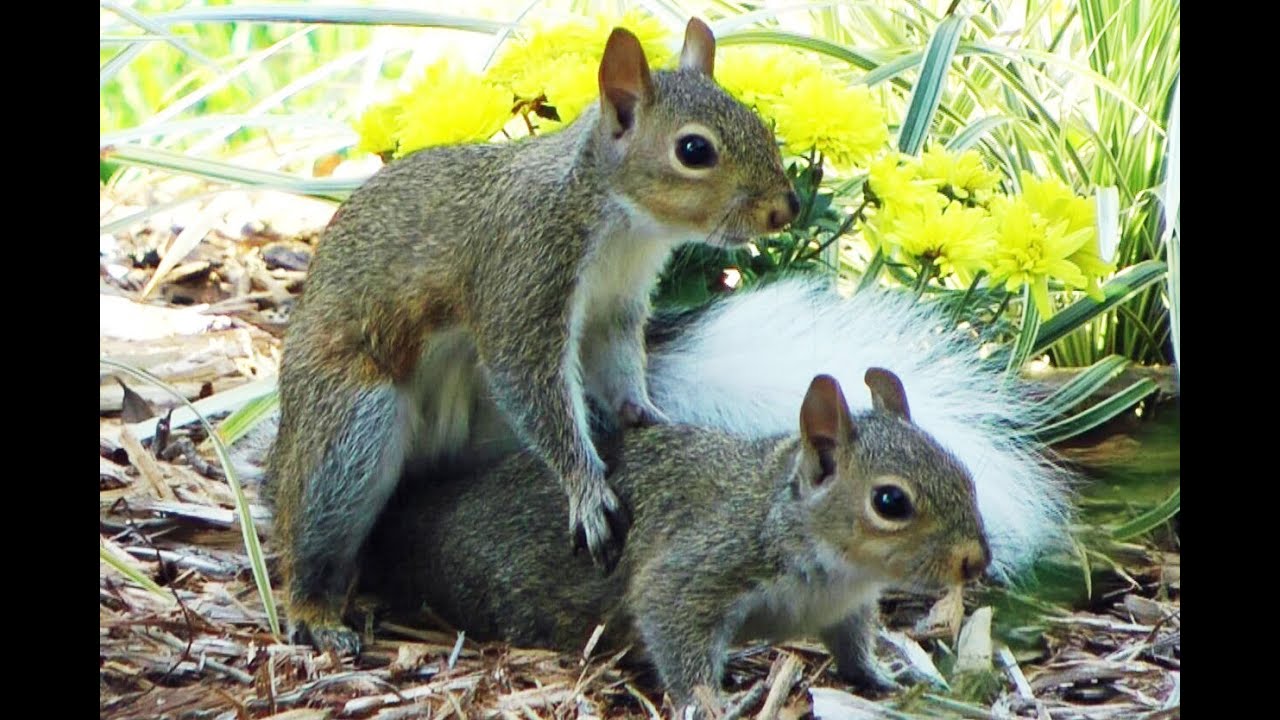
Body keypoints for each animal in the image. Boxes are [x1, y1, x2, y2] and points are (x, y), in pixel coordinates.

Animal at [266, 18, 798, 653]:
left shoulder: (617, 308)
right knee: (317, 524)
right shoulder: (523, 272)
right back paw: (315, 610)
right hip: (348, 424)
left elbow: (620, 368)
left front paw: (644, 413)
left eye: (758, 119)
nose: (787, 208)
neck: (623, 224)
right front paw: (586, 490)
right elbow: (530, 382)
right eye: (694, 150)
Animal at [361, 369, 991, 715]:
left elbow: (854, 647)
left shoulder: (845, 609)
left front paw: (883, 676)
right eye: (890, 502)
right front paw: (712, 702)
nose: (976, 561)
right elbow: (670, 618)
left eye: (965, 471)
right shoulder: (705, 563)